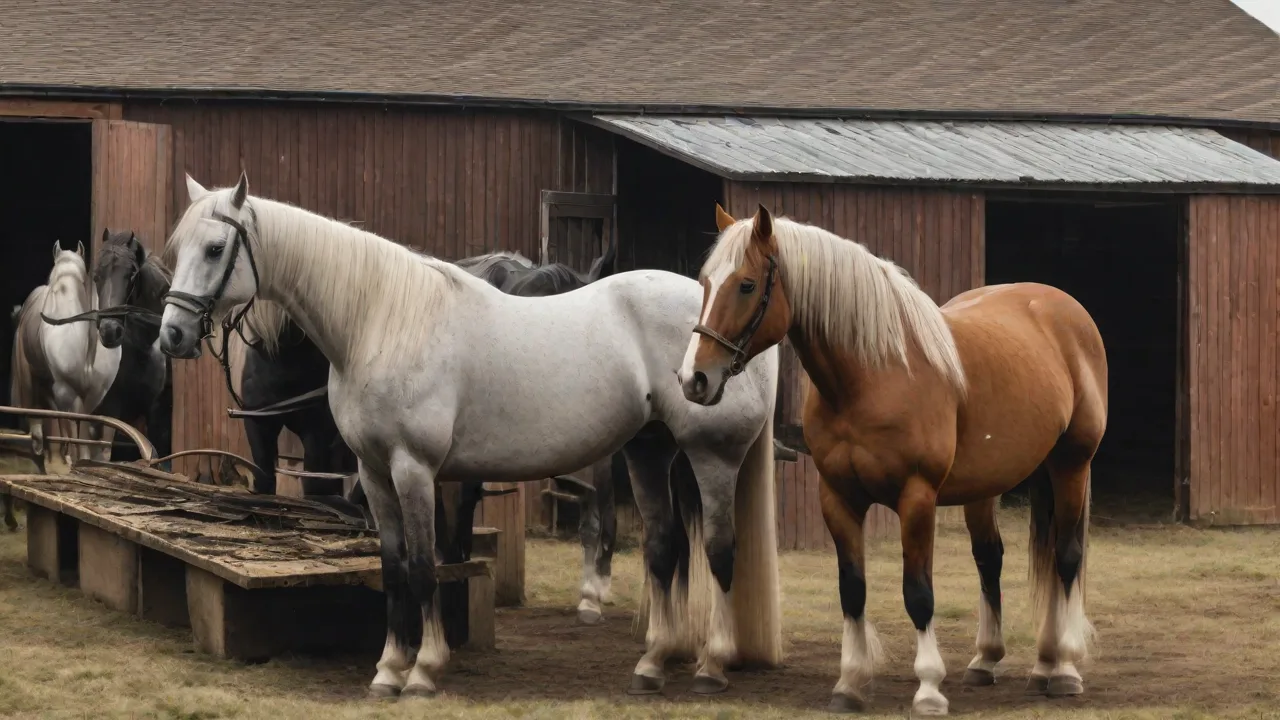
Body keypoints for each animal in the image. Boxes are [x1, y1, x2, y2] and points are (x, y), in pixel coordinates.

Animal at [160, 172, 782, 698]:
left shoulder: (415, 468)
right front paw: (389, 669)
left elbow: (423, 566)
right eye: (178, 249)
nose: (172, 335)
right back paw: (652, 664)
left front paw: (423, 672)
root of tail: (724, 324)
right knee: (665, 546)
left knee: (717, 549)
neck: (381, 320)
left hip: (711, 456)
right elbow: (394, 568)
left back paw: (711, 666)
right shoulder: (373, 472)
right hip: (650, 450)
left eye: (214, 249)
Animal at [679, 204, 1106, 716]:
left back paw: (1062, 668)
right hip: (986, 486)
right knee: (991, 559)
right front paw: (849, 683)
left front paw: (928, 689)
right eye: (704, 283)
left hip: (1072, 464)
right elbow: (852, 589)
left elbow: (918, 593)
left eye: (745, 284)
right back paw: (1001, 662)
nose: (693, 378)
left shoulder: (916, 498)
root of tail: (1061, 307)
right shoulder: (838, 498)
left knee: (1066, 556)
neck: (873, 376)